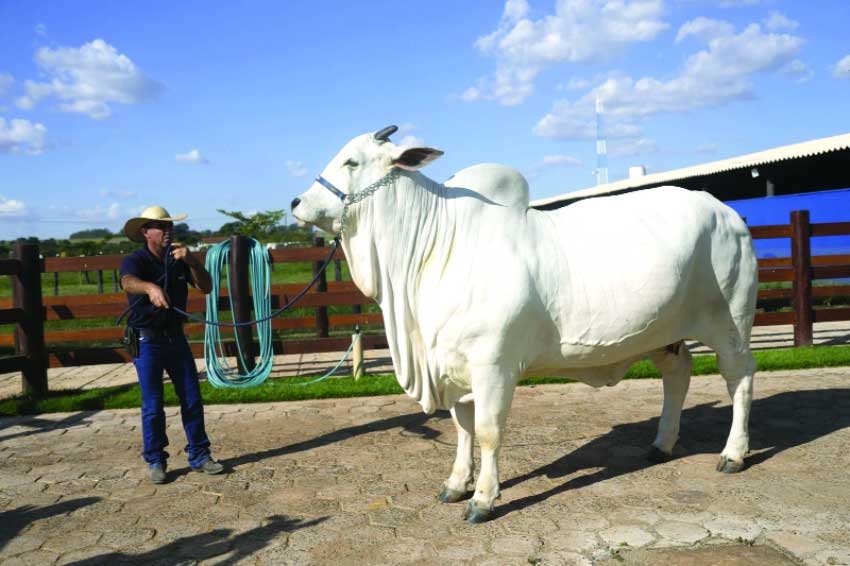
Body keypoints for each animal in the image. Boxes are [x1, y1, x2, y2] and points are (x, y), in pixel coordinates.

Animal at [291, 125, 758, 523]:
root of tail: (727, 212)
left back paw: (733, 454)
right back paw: (662, 444)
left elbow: (488, 431)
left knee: (739, 378)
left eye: (352, 161)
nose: (296, 203)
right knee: (678, 375)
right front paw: (456, 484)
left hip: (730, 323)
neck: (433, 249)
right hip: (667, 334)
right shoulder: (454, 366)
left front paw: (483, 498)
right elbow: (462, 428)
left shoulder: (493, 365)